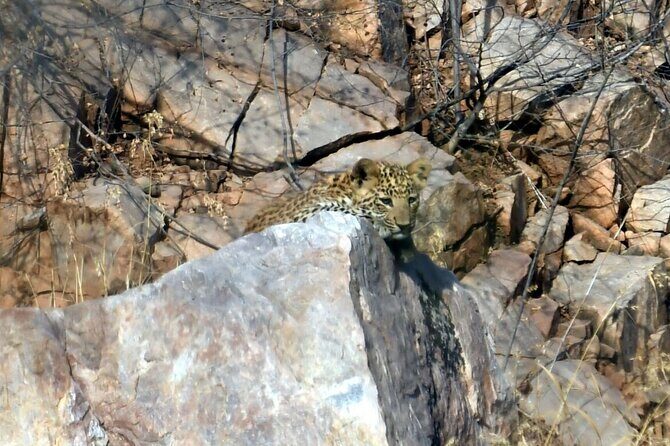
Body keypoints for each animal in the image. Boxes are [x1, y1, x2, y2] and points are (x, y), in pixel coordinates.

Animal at [244, 158, 432, 240]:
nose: (405, 225)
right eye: (386, 201)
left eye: (411, 200)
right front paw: (381, 226)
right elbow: (339, 208)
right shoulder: (301, 214)